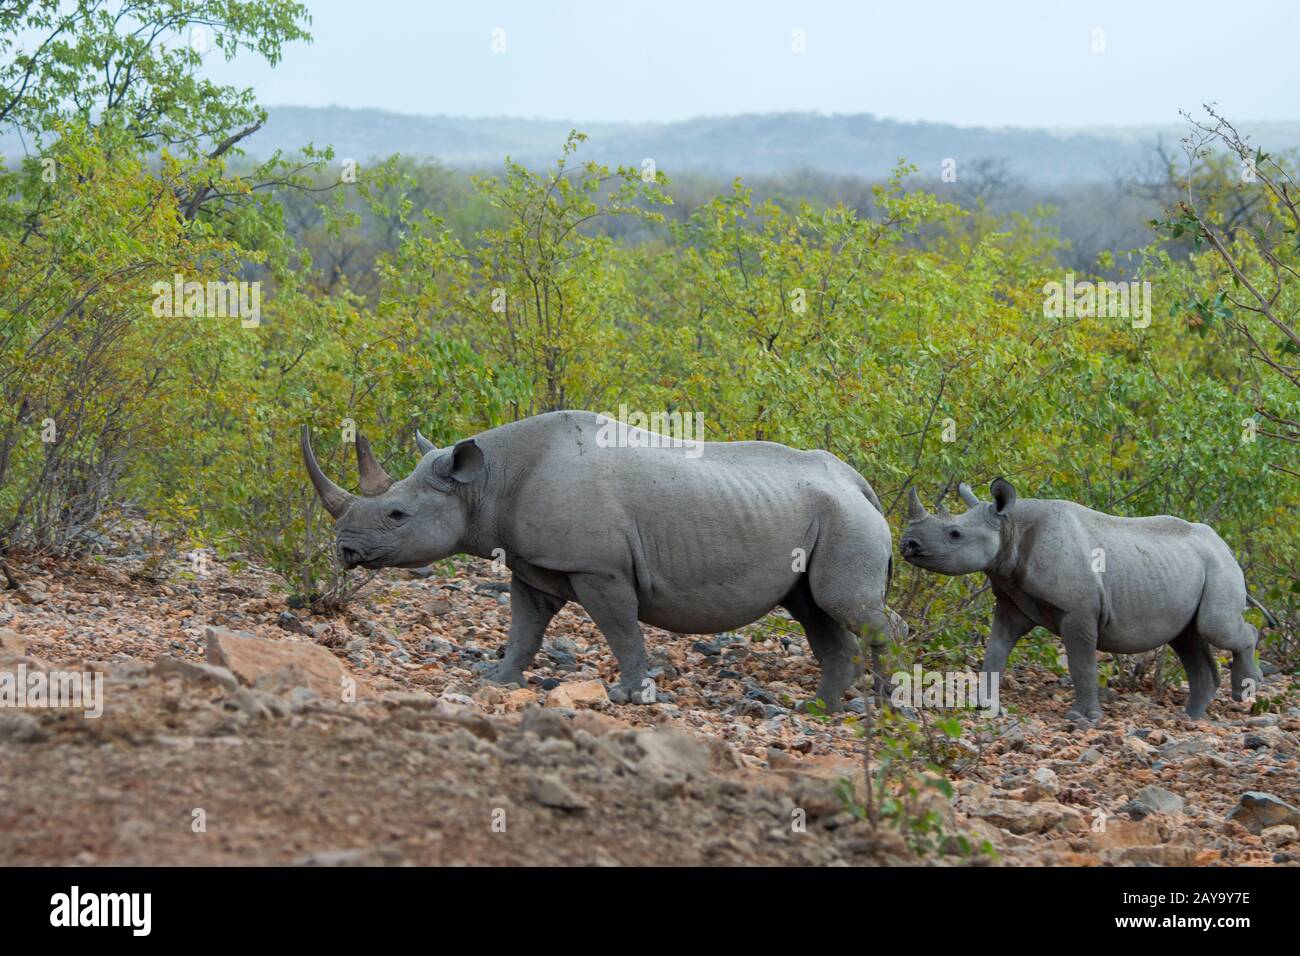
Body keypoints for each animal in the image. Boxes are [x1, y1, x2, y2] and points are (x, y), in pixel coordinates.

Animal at [301, 410, 899, 709]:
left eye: (396, 514)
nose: (345, 550)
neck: (485, 482)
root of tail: (860, 485)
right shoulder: (534, 563)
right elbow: (524, 626)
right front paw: (495, 678)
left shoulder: (597, 568)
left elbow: (620, 630)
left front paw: (627, 695)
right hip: (825, 515)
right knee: (814, 609)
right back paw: (819, 709)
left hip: (847, 520)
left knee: (844, 606)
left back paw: (890, 706)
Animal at [899, 477, 1265, 721]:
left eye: (954, 534)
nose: (908, 544)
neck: (1009, 525)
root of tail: (1225, 545)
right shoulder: (1012, 601)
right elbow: (996, 651)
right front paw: (984, 707)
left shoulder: (1079, 609)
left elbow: (1081, 662)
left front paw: (1083, 718)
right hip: (1187, 569)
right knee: (1187, 637)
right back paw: (1190, 717)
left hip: (1220, 567)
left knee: (1216, 628)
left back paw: (1244, 691)